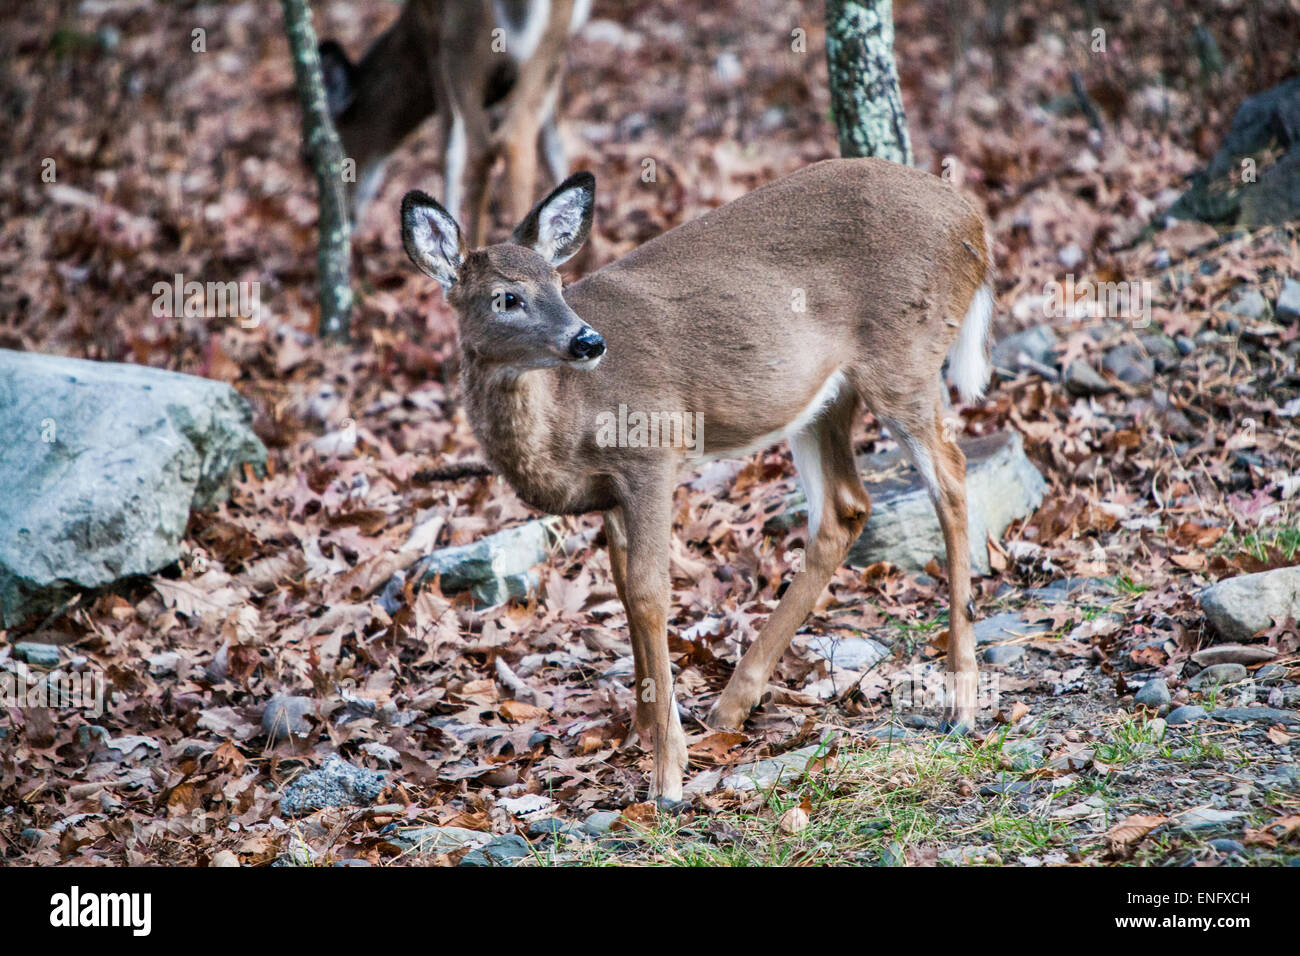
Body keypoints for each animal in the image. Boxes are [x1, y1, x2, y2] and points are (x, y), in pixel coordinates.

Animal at [320, 0, 590, 242]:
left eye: (312, 158)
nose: (345, 221)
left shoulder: (435, 44)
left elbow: (449, 152)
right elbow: (553, 146)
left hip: (463, 44)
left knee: (490, 148)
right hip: (549, 44)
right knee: (520, 140)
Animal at [399, 158, 995, 803]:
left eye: (558, 284)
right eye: (507, 297)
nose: (588, 340)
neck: (562, 420)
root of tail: (974, 221)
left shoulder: (651, 450)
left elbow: (650, 593)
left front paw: (667, 773)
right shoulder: (611, 493)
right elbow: (622, 589)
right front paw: (639, 728)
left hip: (903, 357)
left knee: (951, 477)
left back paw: (962, 705)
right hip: (823, 398)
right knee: (845, 507)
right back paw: (734, 703)